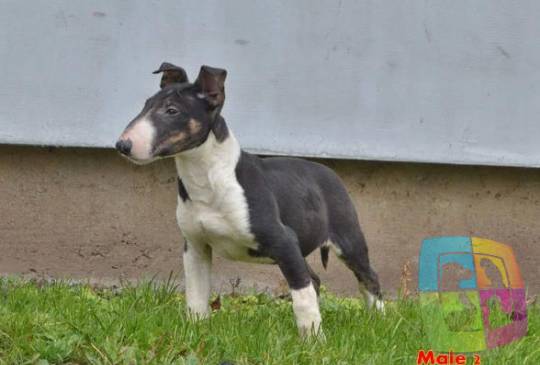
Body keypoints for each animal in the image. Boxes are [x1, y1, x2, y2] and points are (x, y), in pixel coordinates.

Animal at [115, 61, 384, 336]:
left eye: (172, 110)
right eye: (146, 105)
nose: (122, 145)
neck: (206, 177)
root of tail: (330, 172)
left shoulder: (284, 240)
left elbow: (302, 295)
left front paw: (314, 339)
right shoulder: (195, 246)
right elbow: (196, 295)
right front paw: (196, 331)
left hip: (347, 238)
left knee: (367, 277)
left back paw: (378, 320)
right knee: (315, 278)